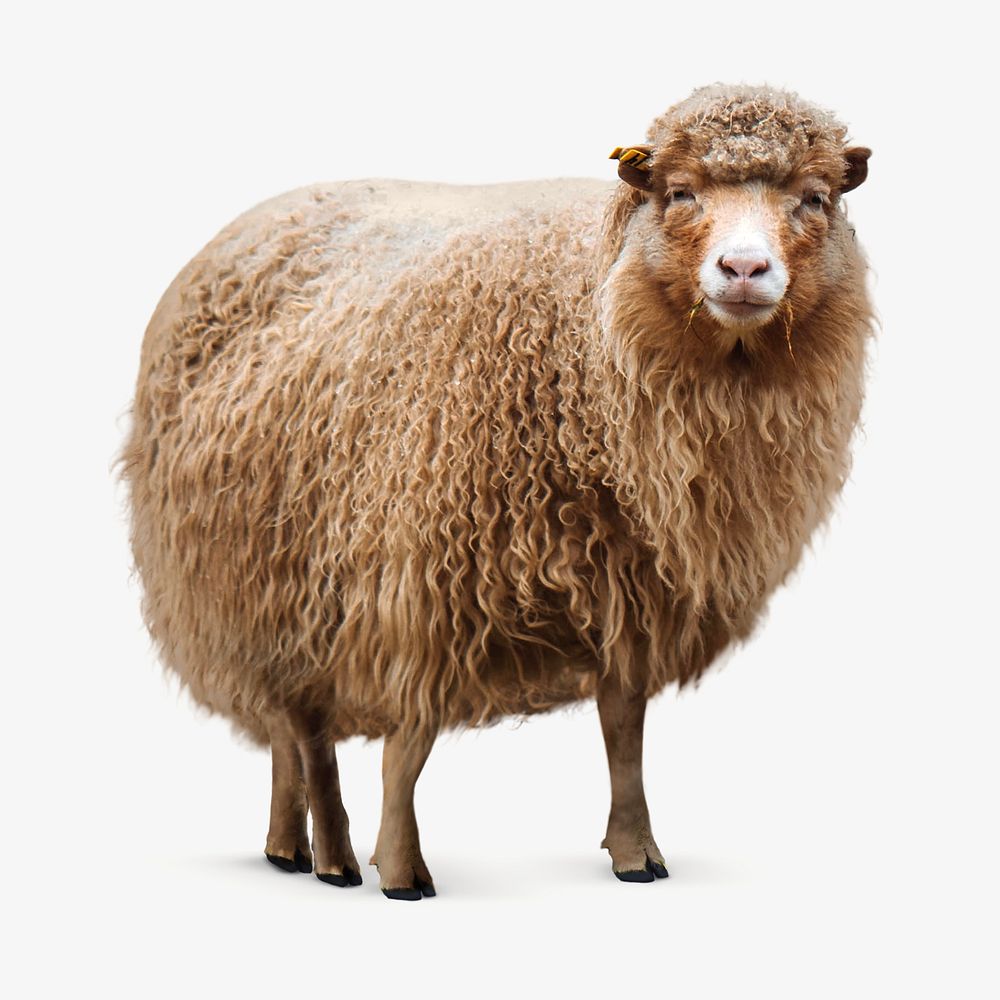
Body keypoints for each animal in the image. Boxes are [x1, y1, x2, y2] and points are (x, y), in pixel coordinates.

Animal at [121, 83, 873, 898]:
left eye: (815, 198)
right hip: (266, 579)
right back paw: (335, 856)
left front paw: (636, 851)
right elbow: (410, 739)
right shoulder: (423, 573)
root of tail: (247, 223)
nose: (743, 267)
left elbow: (625, 729)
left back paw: (288, 844)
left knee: (290, 731)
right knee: (307, 730)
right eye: (679, 192)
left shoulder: (630, 584)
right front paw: (402, 868)